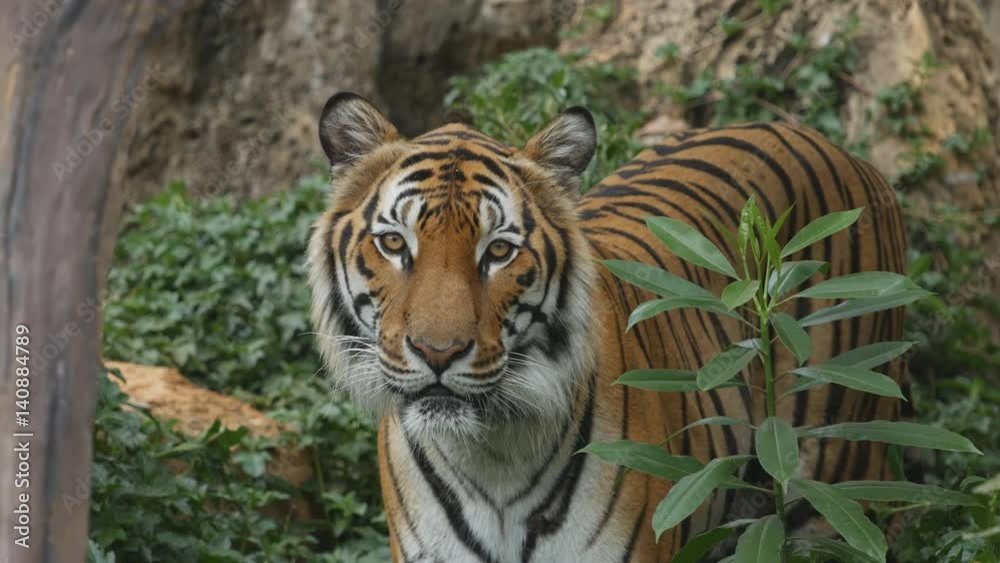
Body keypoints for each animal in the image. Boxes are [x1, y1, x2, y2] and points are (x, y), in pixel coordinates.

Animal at [307, 92, 907, 563]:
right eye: (393, 243)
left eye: (498, 251)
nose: (437, 352)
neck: (490, 456)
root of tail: (844, 151)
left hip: (835, 479)